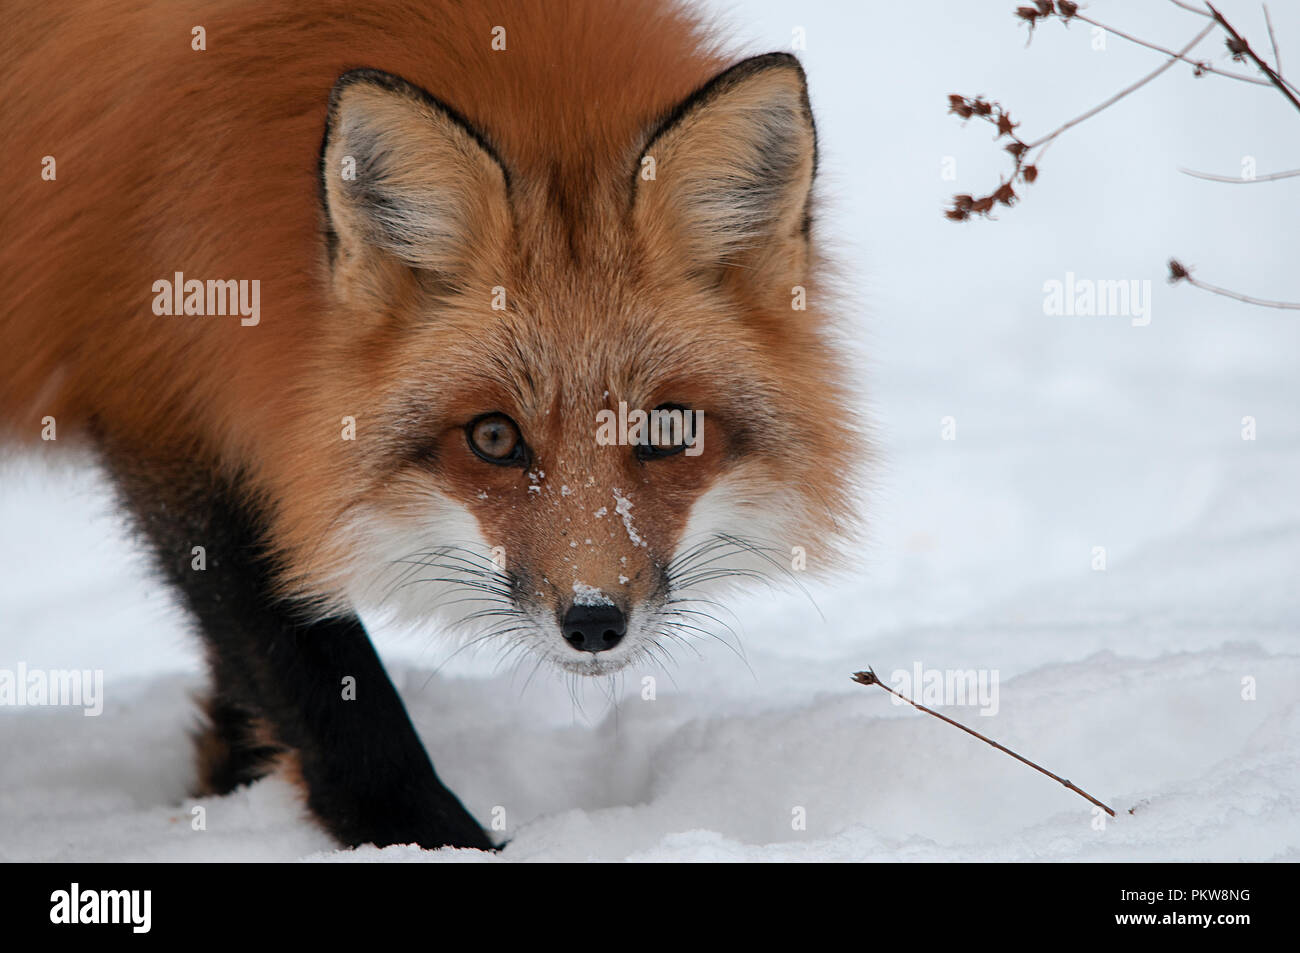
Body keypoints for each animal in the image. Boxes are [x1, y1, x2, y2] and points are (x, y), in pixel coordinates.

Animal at [1, 0, 859, 850]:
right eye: (493, 438)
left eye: (668, 430)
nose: (593, 622)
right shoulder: (157, 398)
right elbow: (311, 662)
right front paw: (426, 833)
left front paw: (228, 781)